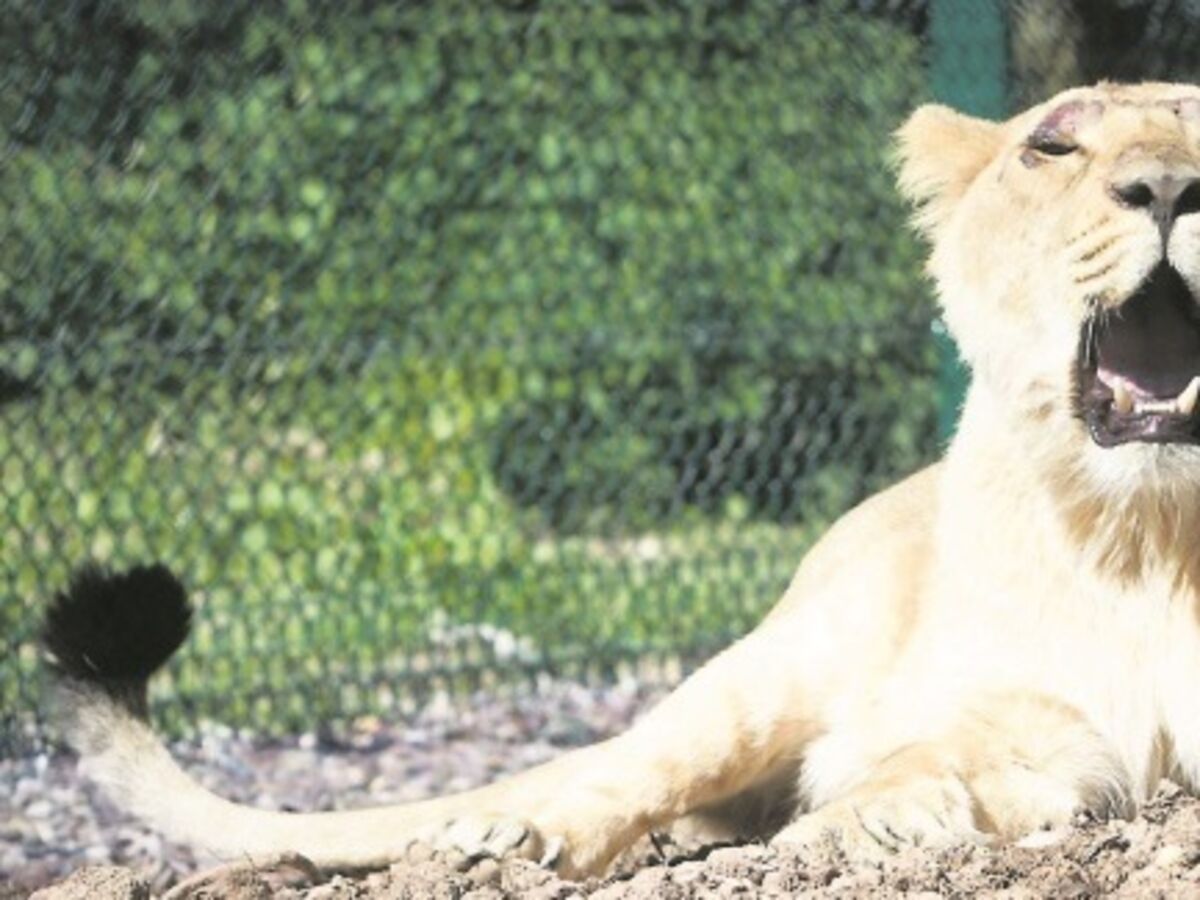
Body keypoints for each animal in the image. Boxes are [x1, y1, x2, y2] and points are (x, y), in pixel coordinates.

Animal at [42, 81, 1200, 880]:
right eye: (1053, 144)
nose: (1170, 188)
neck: (1144, 535)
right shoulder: (1017, 714)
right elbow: (915, 760)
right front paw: (856, 825)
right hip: (764, 670)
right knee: (628, 772)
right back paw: (504, 839)